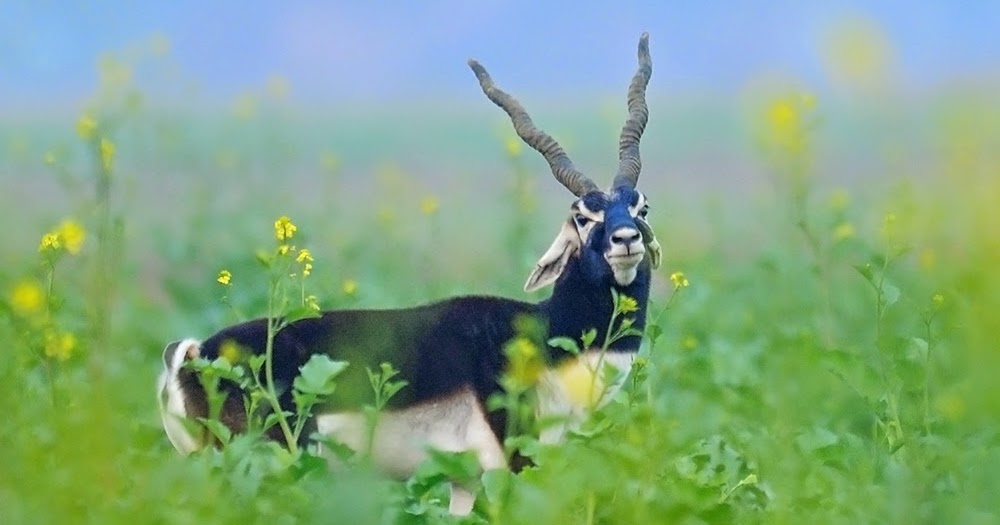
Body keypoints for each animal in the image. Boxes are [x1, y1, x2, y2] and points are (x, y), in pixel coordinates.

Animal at [158, 33, 659, 515]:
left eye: (641, 207)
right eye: (582, 216)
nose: (625, 240)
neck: (548, 336)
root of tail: (193, 352)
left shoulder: (464, 479)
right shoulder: (513, 463)